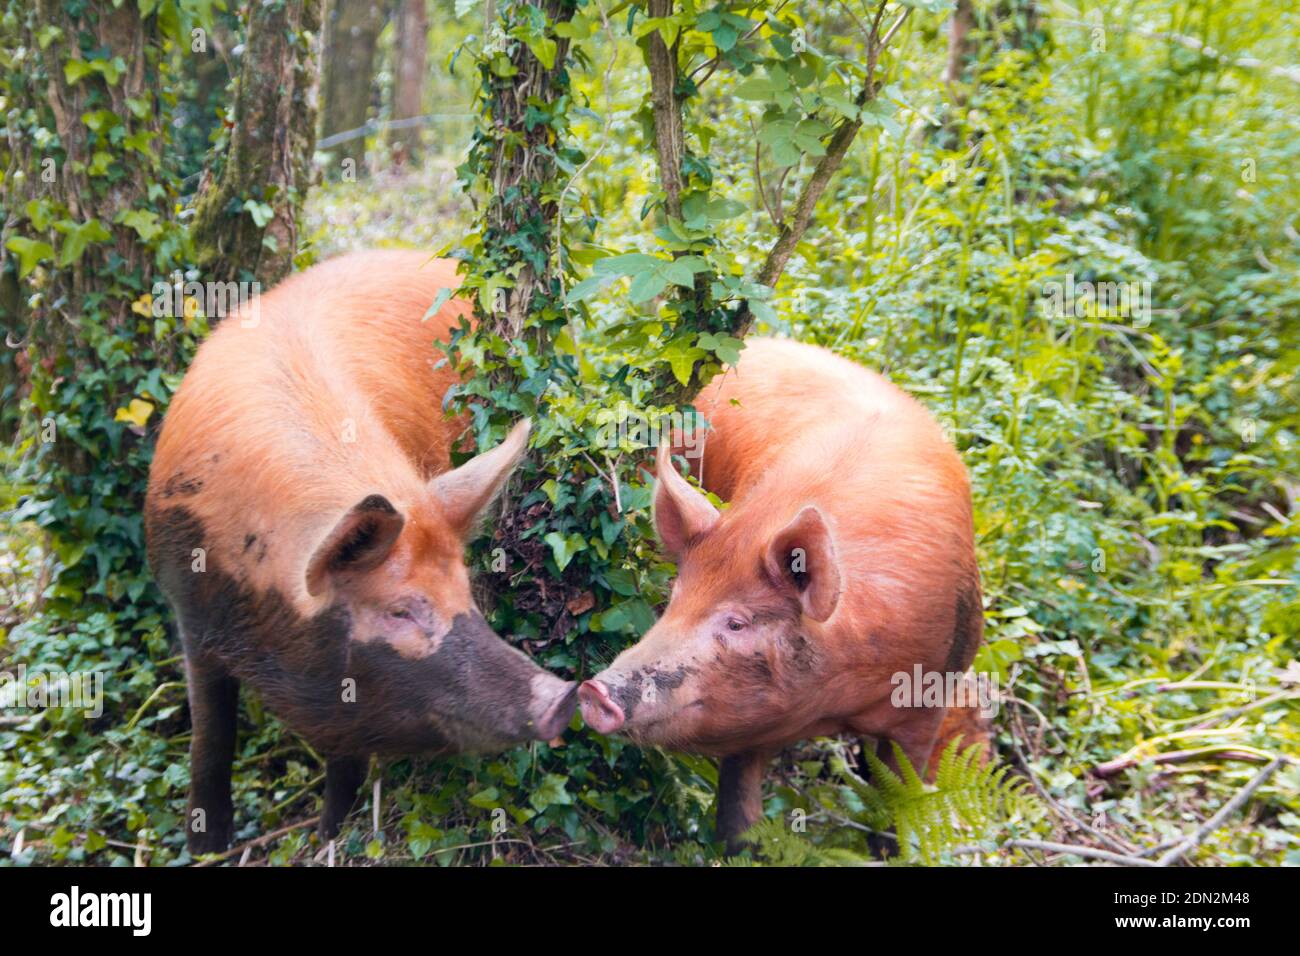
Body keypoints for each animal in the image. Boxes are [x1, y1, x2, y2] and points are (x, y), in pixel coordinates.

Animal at [145, 250, 577, 854]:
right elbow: (211, 730)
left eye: (468, 594)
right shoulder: (188, 600)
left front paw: (330, 839)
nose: (561, 696)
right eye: (399, 610)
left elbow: (346, 760)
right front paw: (206, 847)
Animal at [578, 336, 986, 852]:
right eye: (674, 602)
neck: (838, 689)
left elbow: (901, 802)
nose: (593, 690)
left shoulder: (931, 694)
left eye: (737, 622)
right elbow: (739, 814)